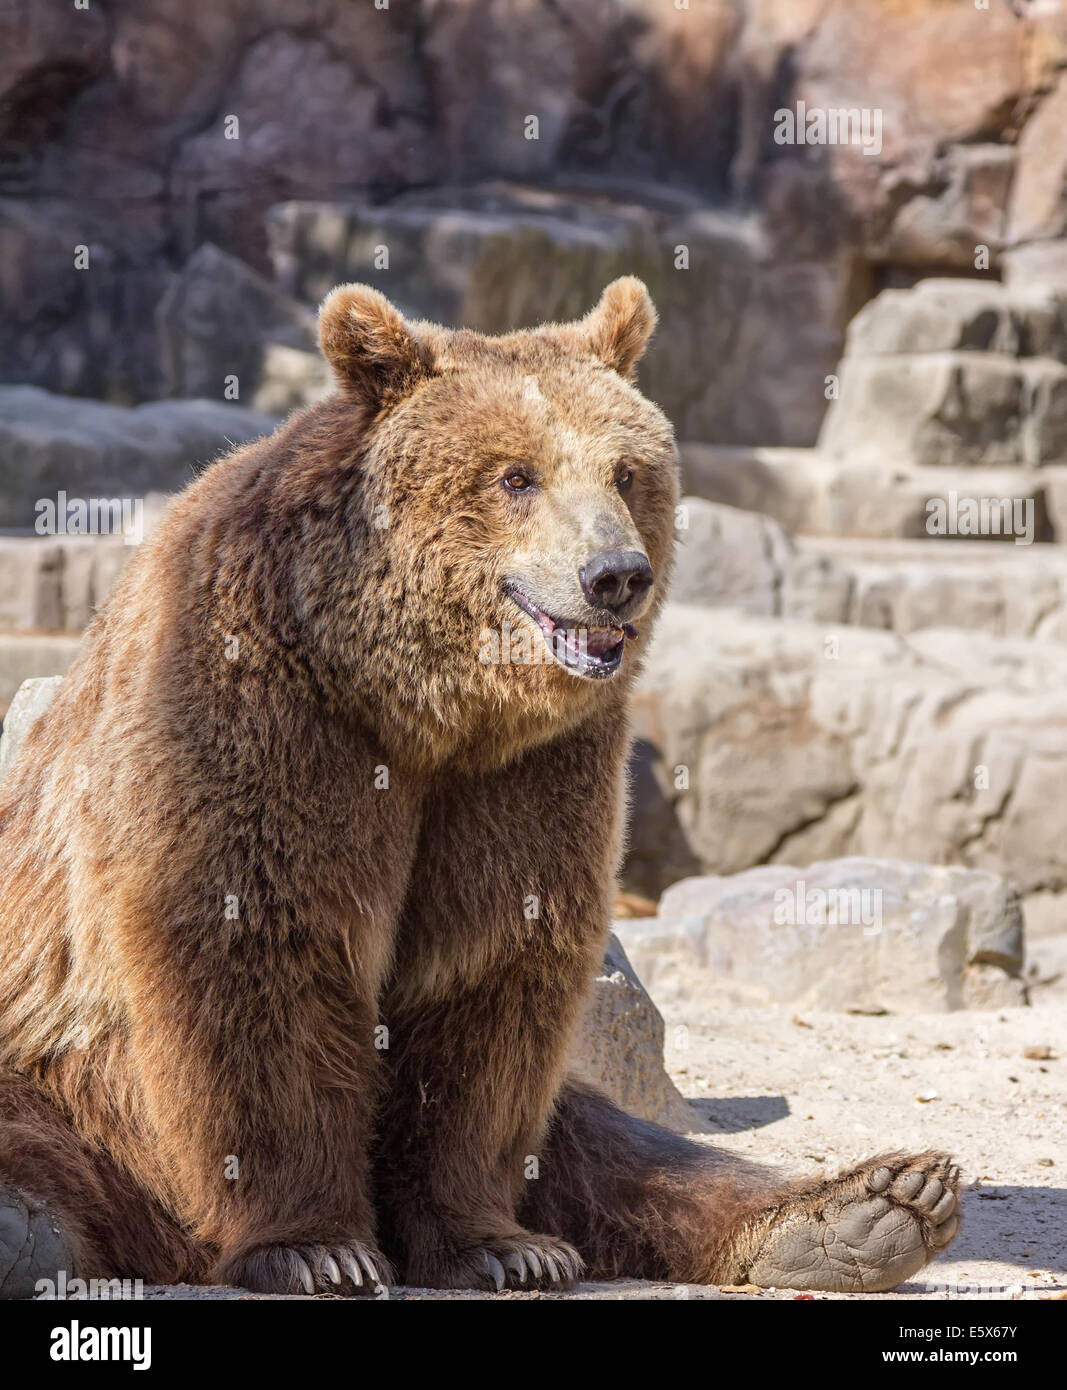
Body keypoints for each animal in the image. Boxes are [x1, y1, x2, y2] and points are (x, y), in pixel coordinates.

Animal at [0, 279, 960, 1297]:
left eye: (626, 472)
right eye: (516, 476)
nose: (615, 576)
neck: (417, 705)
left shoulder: (527, 771)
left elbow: (491, 977)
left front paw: (499, 1244)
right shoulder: (259, 710)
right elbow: (258, 946)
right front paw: (317, 1246)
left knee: (614, 1141)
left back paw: (873, 1205)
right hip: (58, 1066)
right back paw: (23, 1226)